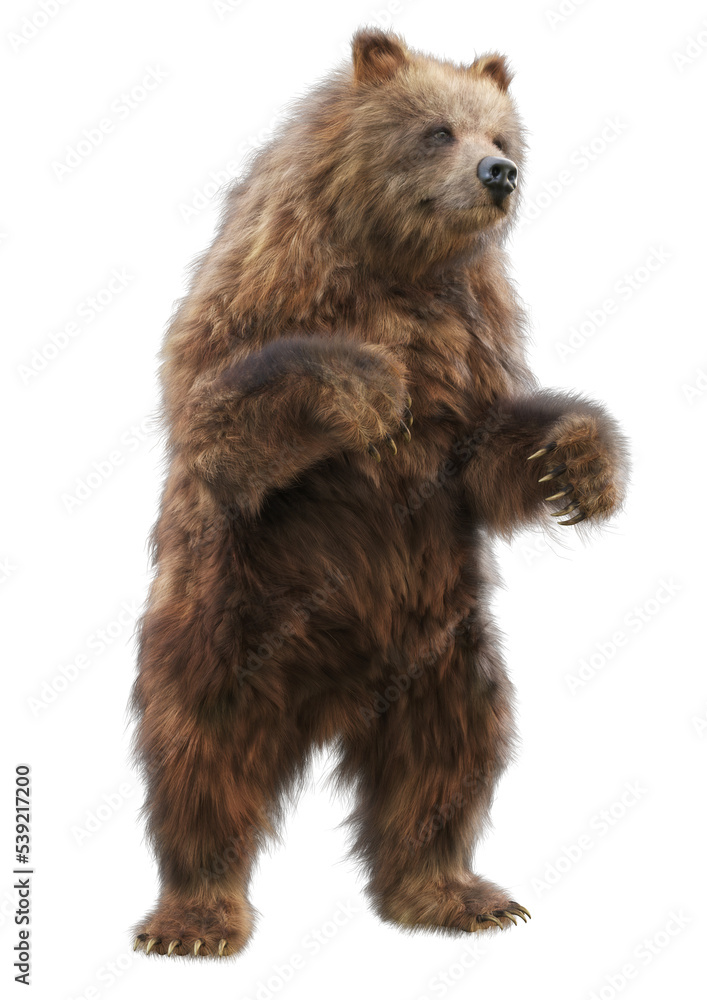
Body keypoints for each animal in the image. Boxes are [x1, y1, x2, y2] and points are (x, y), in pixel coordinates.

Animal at [130, 28, 629, 958]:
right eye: (437, 131)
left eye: (499, 135)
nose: (498, 174)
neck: (396, 266)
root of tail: (337, 703)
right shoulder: (260, 295)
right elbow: (221, 416)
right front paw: (366, 389)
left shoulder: (471, 341)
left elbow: (487, 459)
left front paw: (574, 466)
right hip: (230, 620)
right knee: (200, 756)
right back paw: (194, 915)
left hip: (446, 649)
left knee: (449, 760)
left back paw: (455, 894)